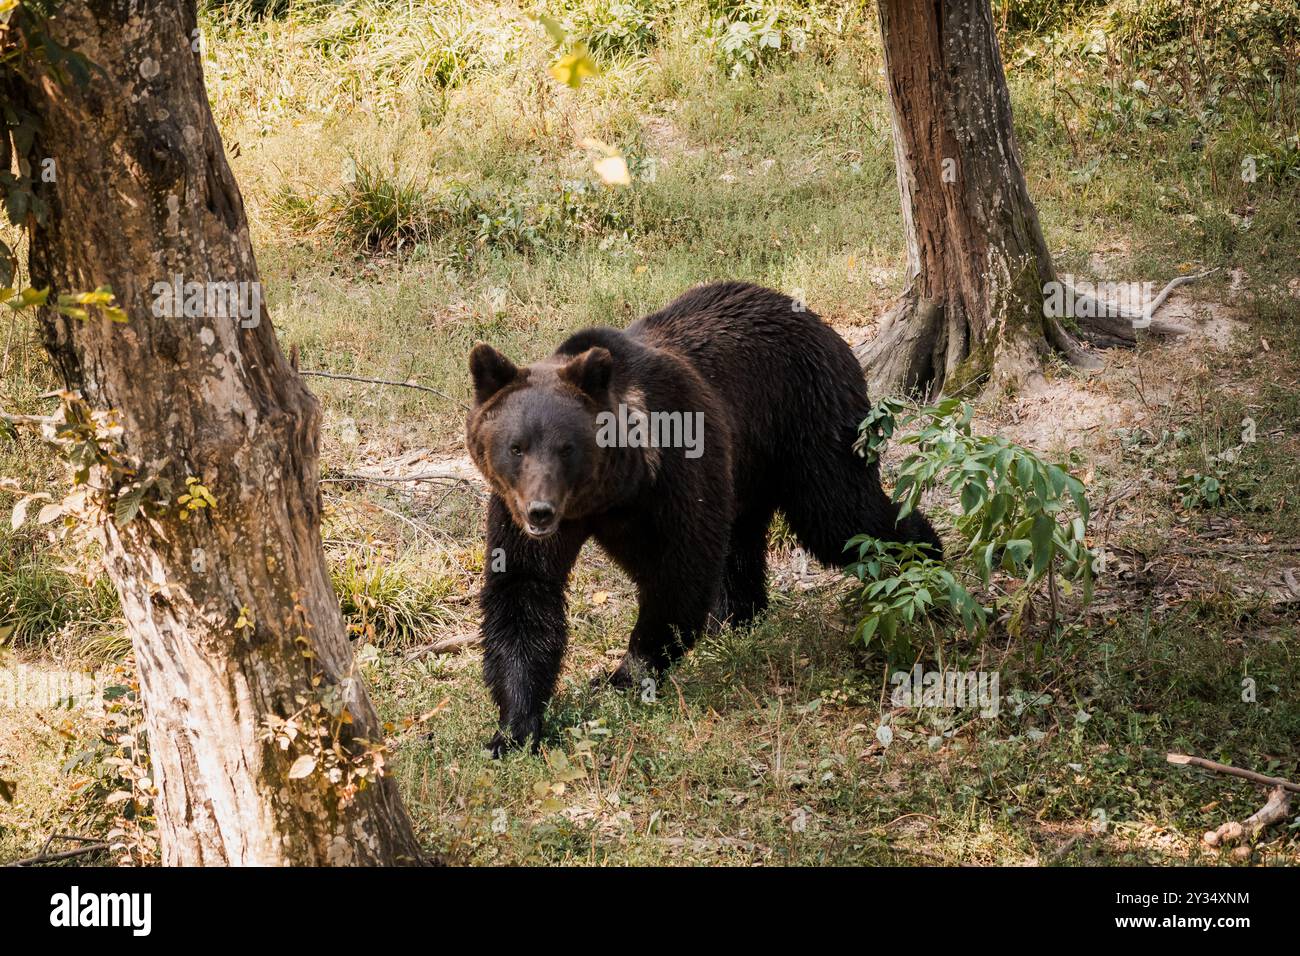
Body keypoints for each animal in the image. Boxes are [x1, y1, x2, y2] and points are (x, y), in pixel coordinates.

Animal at [466, 281, 941, 755]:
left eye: (567, 447)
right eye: (516, 447)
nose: (540, 511)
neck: (611, 492)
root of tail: (808, 314)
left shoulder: (677, 466)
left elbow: (680, 570)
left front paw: (622, 675)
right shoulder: (518, 509)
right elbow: (523, 590)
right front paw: (514, 727)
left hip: (806, 414)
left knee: (840, 514)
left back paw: (923, 566)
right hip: (748, 462)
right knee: (743, 539)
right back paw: (734, 617)